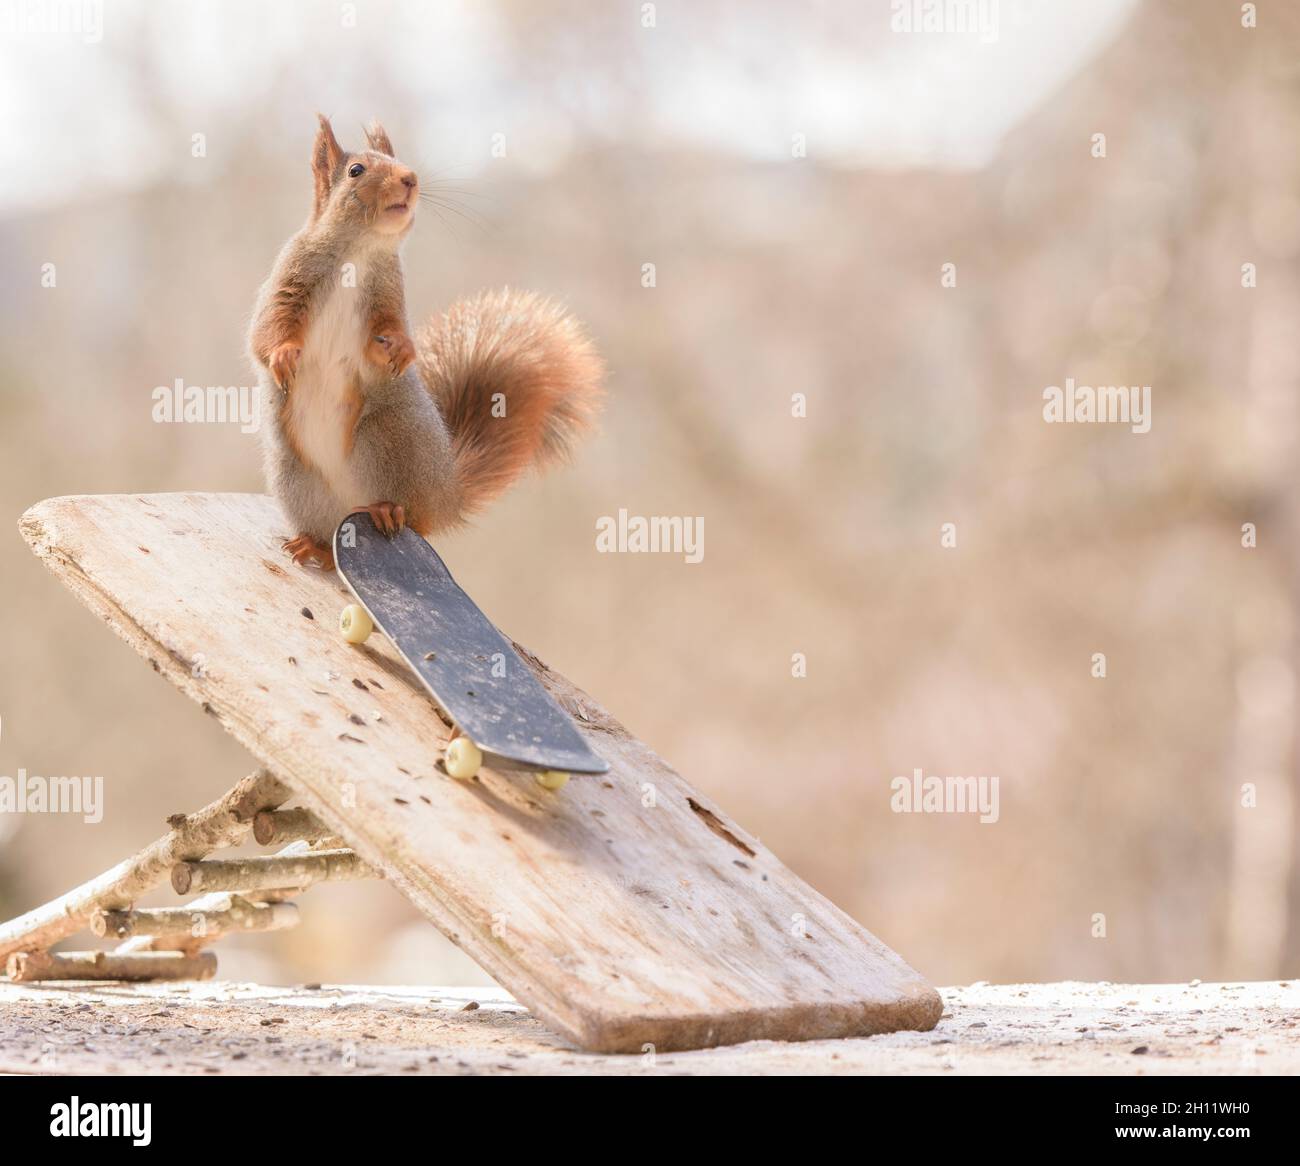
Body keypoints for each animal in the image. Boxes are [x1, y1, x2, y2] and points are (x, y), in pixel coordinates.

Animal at [248, 115, 604, 570]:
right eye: (356, 170)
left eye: (400, 162)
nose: (410, 178)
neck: (358, 252)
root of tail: (447, 494)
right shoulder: (289, 278)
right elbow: (267, 331)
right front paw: (283, 356)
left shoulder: (389, 297)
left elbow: (392, 328)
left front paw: (401, 350)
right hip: (296, 474)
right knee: (329, 537)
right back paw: (313, 545)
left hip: (388, 439)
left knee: (412, 516)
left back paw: (388, 510)